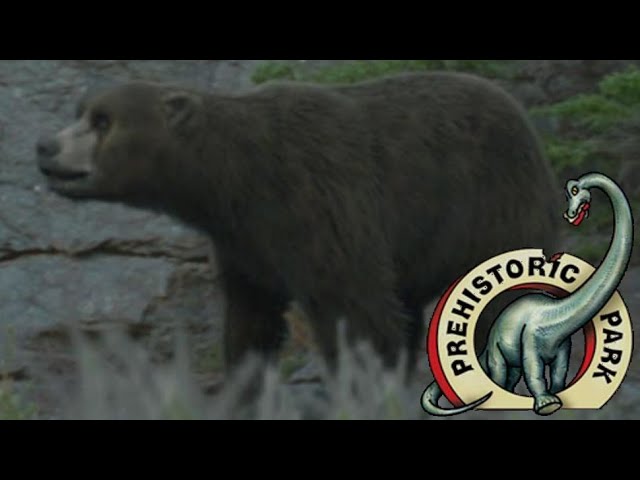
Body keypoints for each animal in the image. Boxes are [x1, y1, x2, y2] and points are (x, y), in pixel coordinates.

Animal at [36, 72, 562, 379]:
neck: (233, 182)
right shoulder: (246, 244)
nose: (46, 146)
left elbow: (357, 310)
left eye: (103, 121)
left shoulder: (319, 202)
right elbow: (251, 322)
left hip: (492, 205)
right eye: (82, 113)